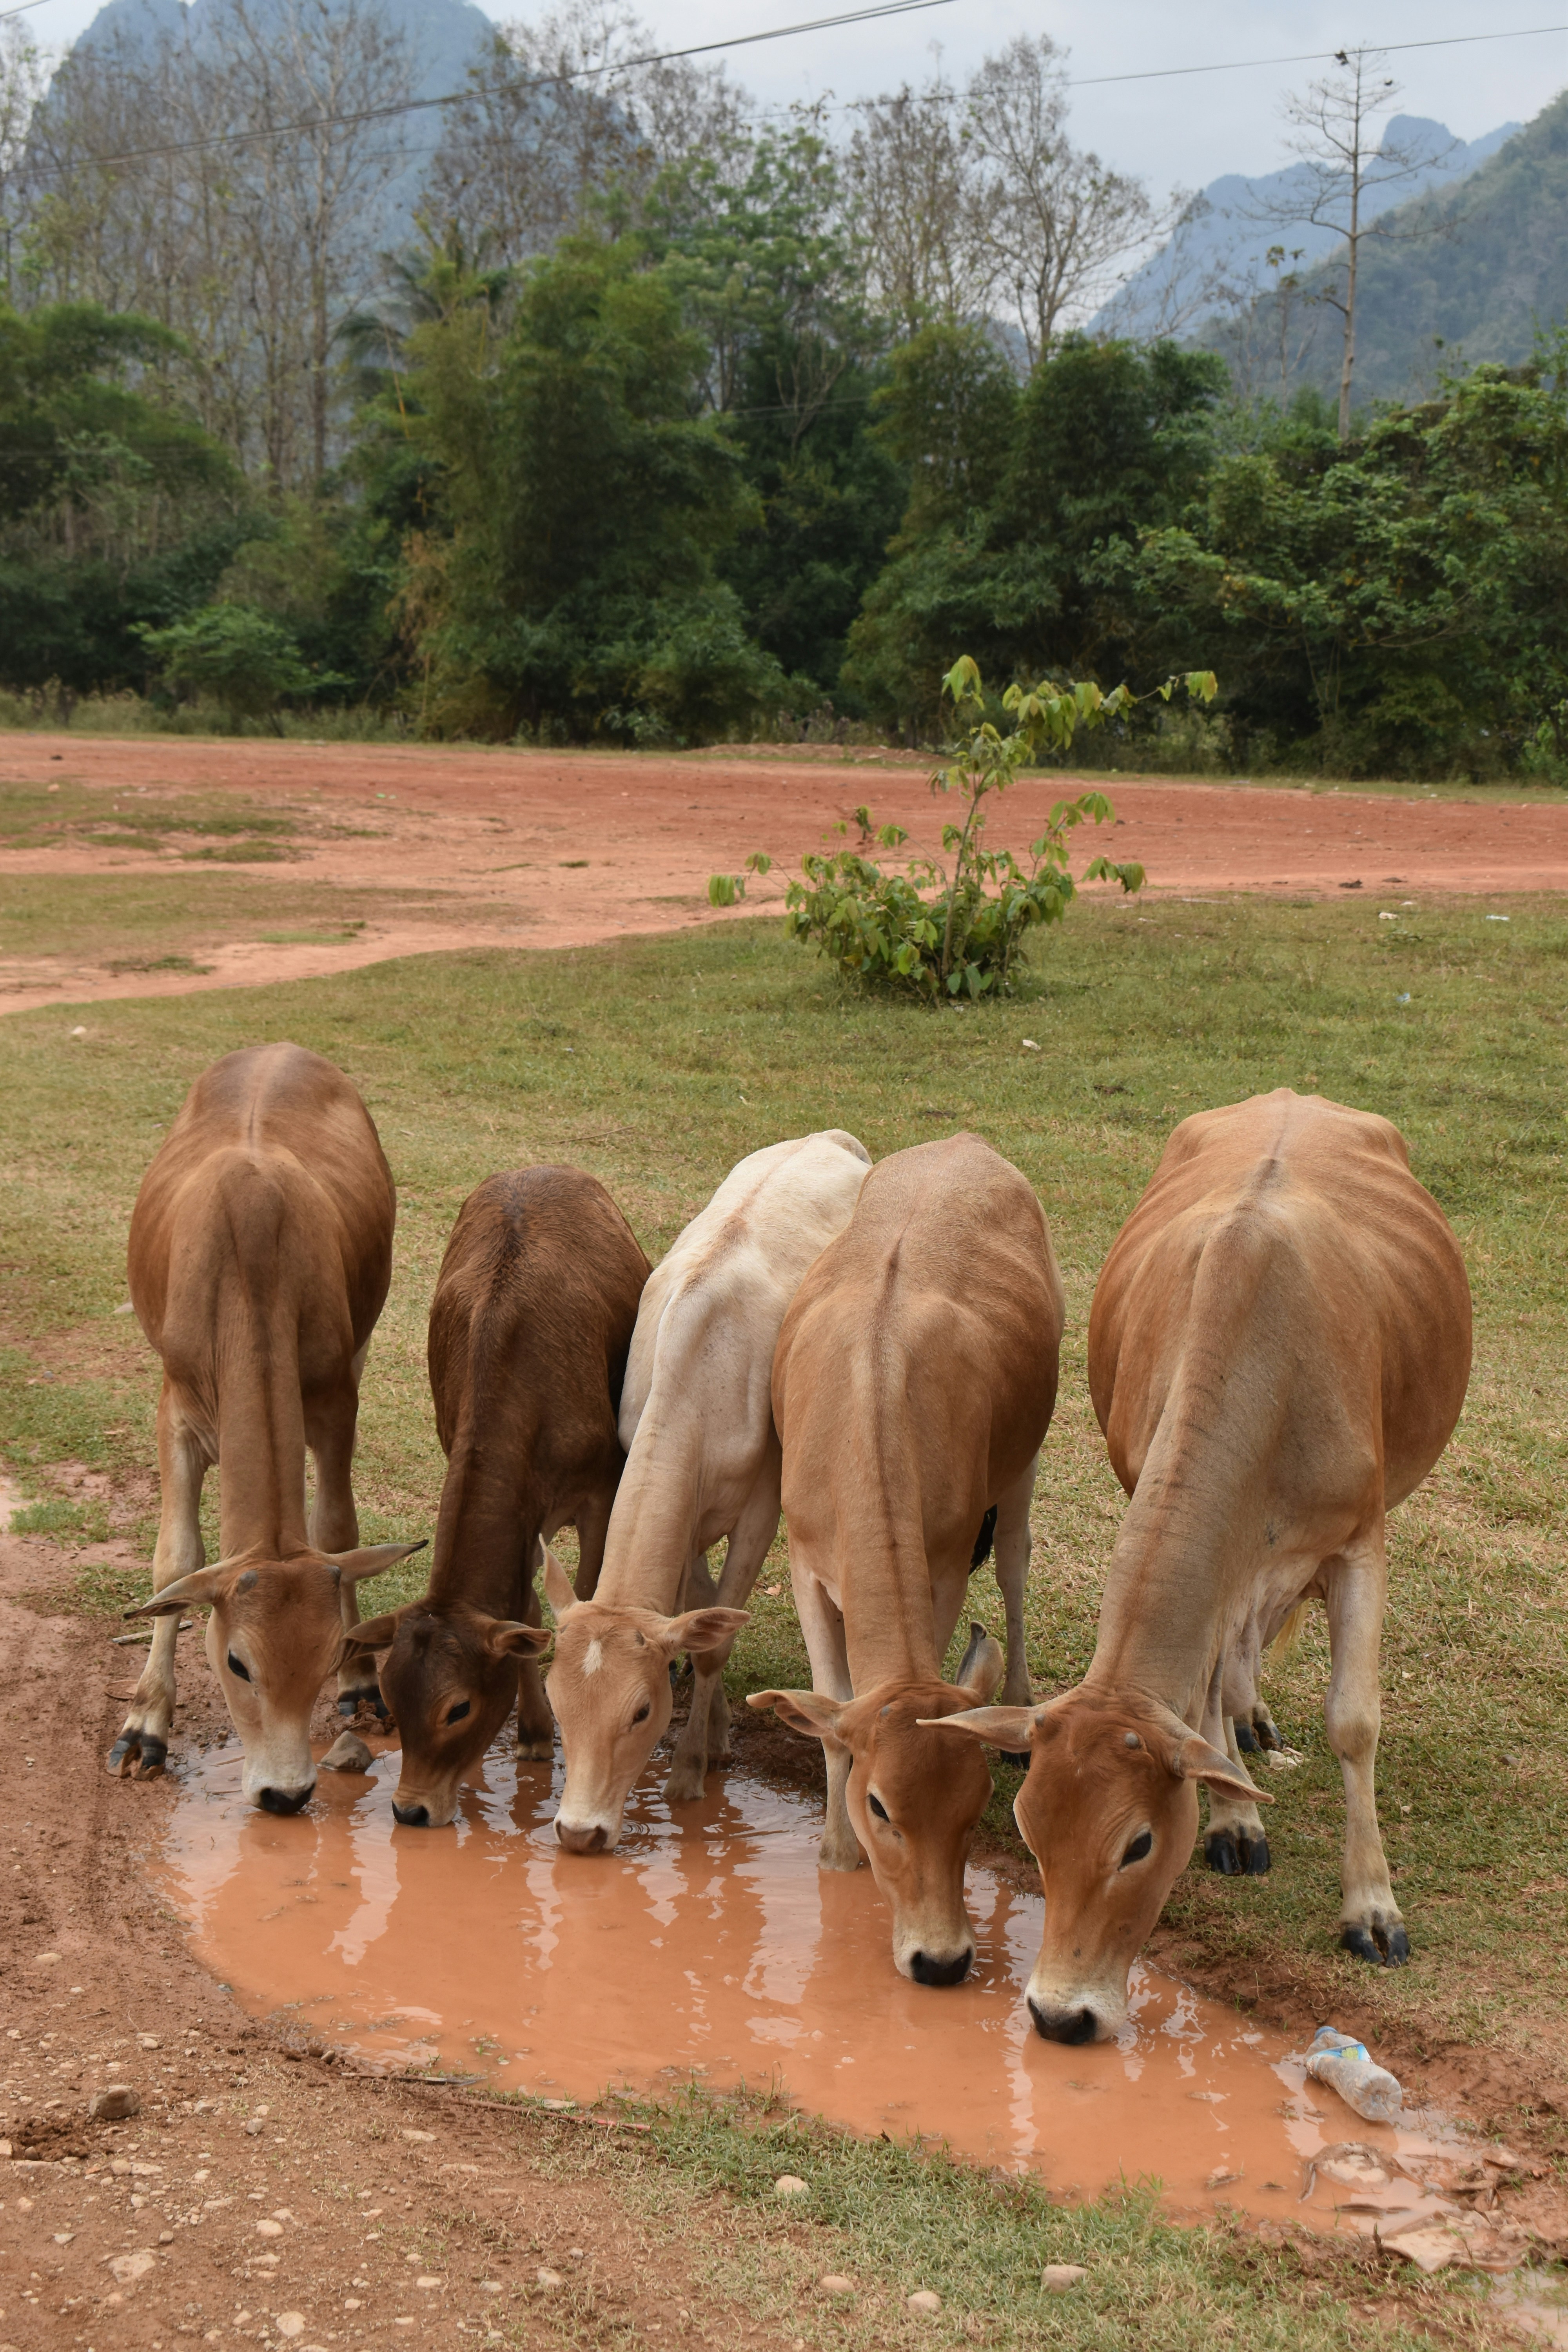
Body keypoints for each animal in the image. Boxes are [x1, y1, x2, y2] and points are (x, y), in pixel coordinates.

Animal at [114, 1043, 423, 1812]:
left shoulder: (336, 1399)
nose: (285, 1795)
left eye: (331, 1651)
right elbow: (176, 1562)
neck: (248, 1265)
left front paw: (359, 1685)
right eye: (237, 1664)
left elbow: (336, 1531)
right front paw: (146, 1724)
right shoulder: (176, 1410)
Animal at [341, 1166, 651, 1828]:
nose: (410, 1811)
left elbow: (586, 1593)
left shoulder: (601, 1491)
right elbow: (525, 1609)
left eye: (458, 1709)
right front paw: (532, 1731)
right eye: (390, 1701)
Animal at [544, 1130, 873, 1853]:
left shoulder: (761, 1507)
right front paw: (716, 1731)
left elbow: (718, 1637)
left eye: (641, 1711)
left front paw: (690, 1772)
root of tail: (829, 1138)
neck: (696, 1378)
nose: (579, 1833)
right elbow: (698, 1609)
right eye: (554, 1700)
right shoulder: (687, 1516)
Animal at [747, 1132, 1064, 1986]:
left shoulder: (945, 1564)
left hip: (1023, 1461)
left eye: (973, 1807)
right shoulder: (805, 1566)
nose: (942, 1961)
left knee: (1016, 1566)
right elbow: (831, 1712)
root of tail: (965, 1142)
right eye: (879, 1806)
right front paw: (834, 1855)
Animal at [931, 1090, 1472, 2041]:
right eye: (1029, 1831)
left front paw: (1371, 1908)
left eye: (1138, 1844)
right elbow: (1205, 1688)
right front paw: (1234, 1819)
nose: (1058, 2015)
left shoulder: (1360, 1541)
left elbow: (1353, 1722)